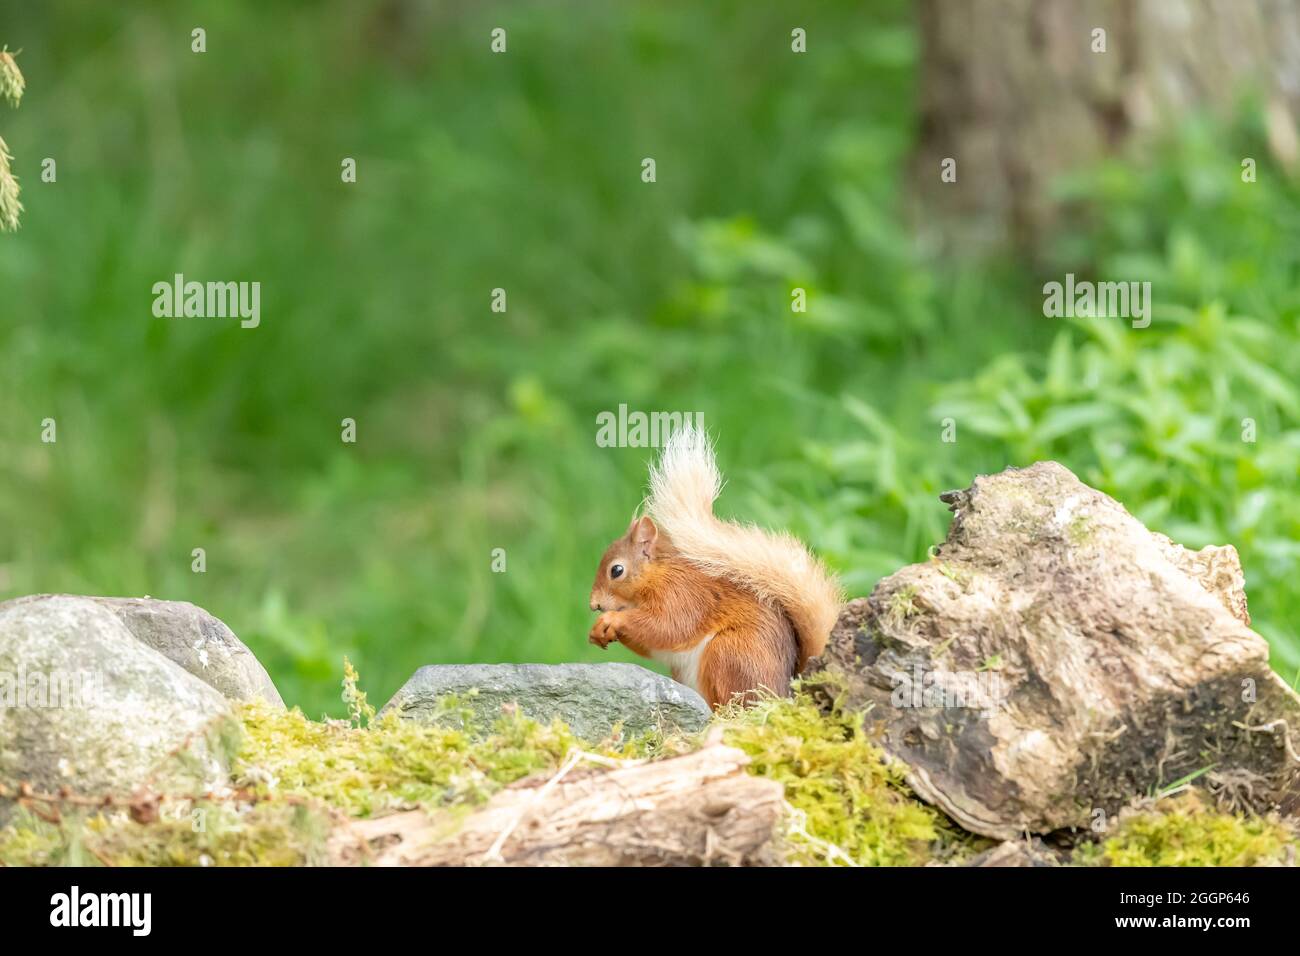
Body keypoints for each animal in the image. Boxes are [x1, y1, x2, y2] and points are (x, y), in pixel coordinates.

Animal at [588, 426, 843, 710]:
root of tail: (783, 695)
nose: (594, 604)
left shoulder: (683, 595)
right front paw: (598, 631)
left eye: (616, 571)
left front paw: (612, 619)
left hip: (730, 653)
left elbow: (667, 626)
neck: (658, 574)